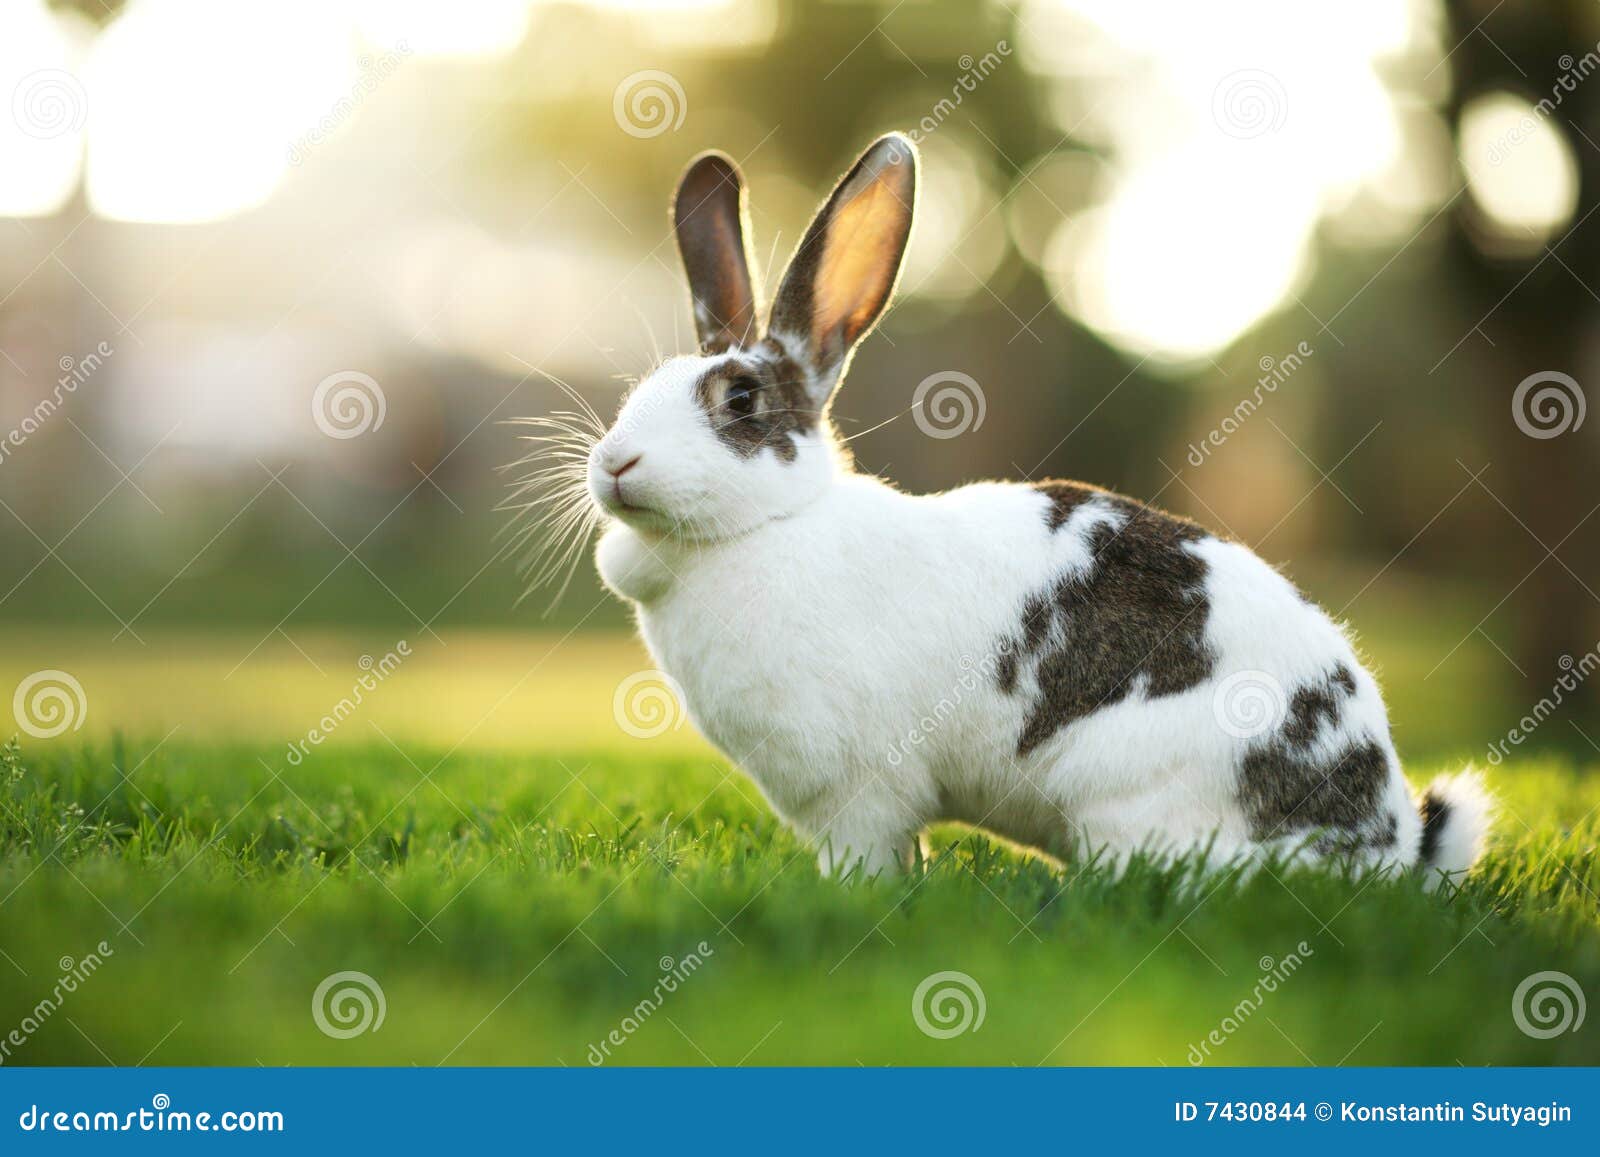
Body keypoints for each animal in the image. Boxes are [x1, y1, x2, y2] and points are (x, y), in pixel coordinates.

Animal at [570, 132, 1491, 884]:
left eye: (740, 399)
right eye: (639, 388)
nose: (614, 463)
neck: (769, 528)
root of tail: (1383, 837)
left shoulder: (859, 795)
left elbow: (867, 857)